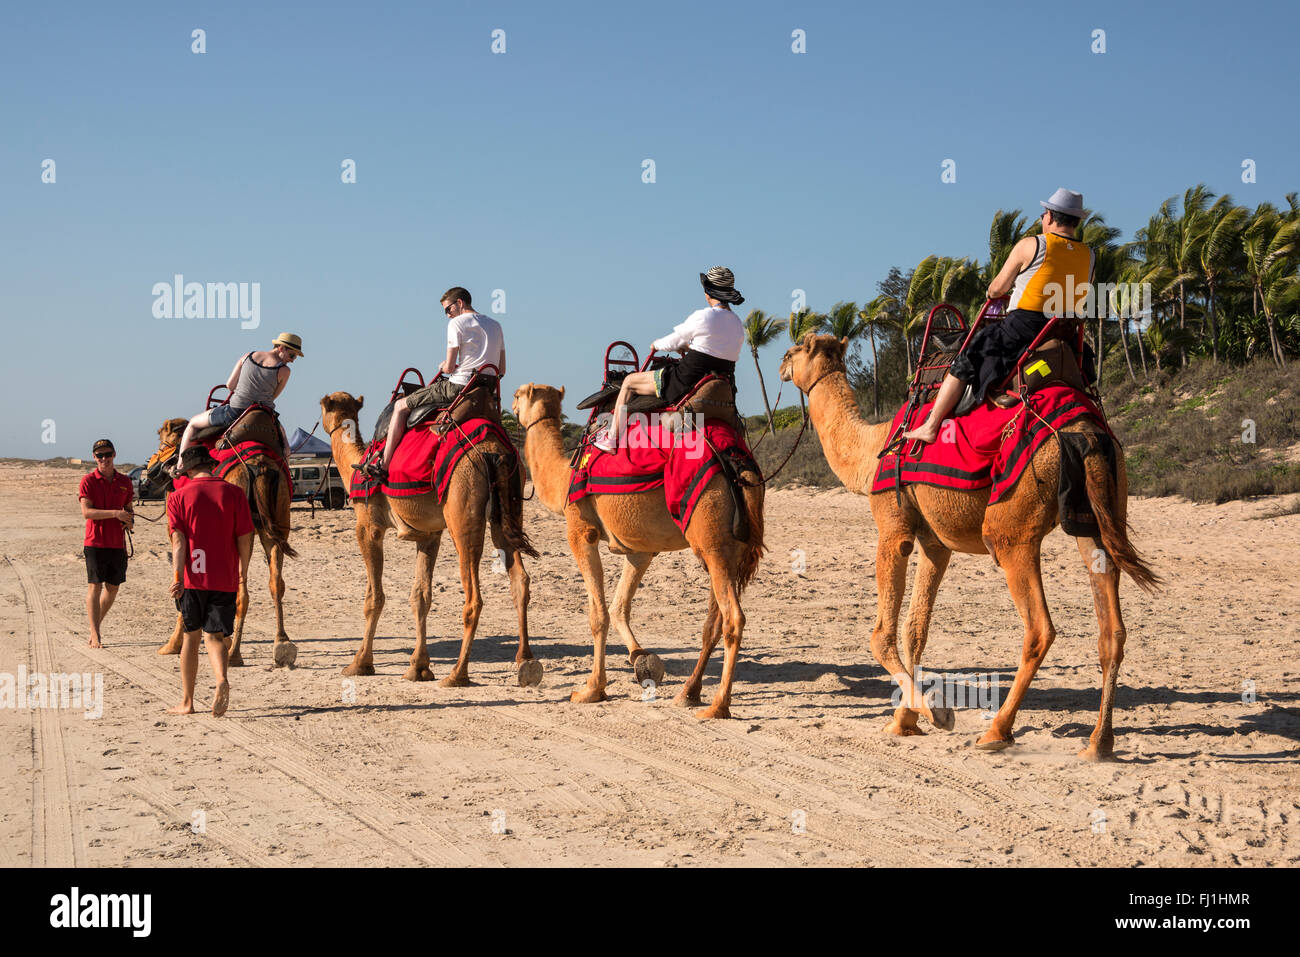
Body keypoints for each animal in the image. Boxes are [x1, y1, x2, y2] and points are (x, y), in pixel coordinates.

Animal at [146, 416, 298, 667]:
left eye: (162, 437)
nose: (151, 469)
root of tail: (261, 468)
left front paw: (173, 645)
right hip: (279, 521)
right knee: (276, 583)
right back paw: (282, 644)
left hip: (244, 530)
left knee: (242, 593)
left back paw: (234, 653)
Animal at [319, 391, 538, 685]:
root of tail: (495, 451)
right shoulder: (429, 534)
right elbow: (421, 597)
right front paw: (419, 667)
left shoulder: (368, 526)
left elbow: (374, 598)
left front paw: (360, 663)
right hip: (508, 509)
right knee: (520, 580)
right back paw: (525, 661)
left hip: (462, 508)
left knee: (474, 596)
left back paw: (457, 674)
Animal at [512, 383, 765, 717]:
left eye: (518, 395)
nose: (511, 406)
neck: (564, 476)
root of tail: (739, 467)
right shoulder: (640, 549)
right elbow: (619, 606)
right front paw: (641, 659)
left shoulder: (580, 530)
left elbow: (599, 614)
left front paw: (592, 689)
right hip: (725, 550)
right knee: (714, 622)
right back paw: (689, 692)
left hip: (713, 541)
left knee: (733, 618)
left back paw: (718, 705)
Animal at [778, 334, 1159, 760]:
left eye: (796, 349)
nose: (781, 365)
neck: (872, 450)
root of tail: (1086, 431)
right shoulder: (935, 542)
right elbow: (916, 629)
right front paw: (905, 720)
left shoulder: (894, 528)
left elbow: (882, 635)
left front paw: (934, 712)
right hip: (1097, 515)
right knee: (1112, 629)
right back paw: (1098, 743)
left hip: (1010, 530)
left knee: (1039, 627)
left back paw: (997, 731)